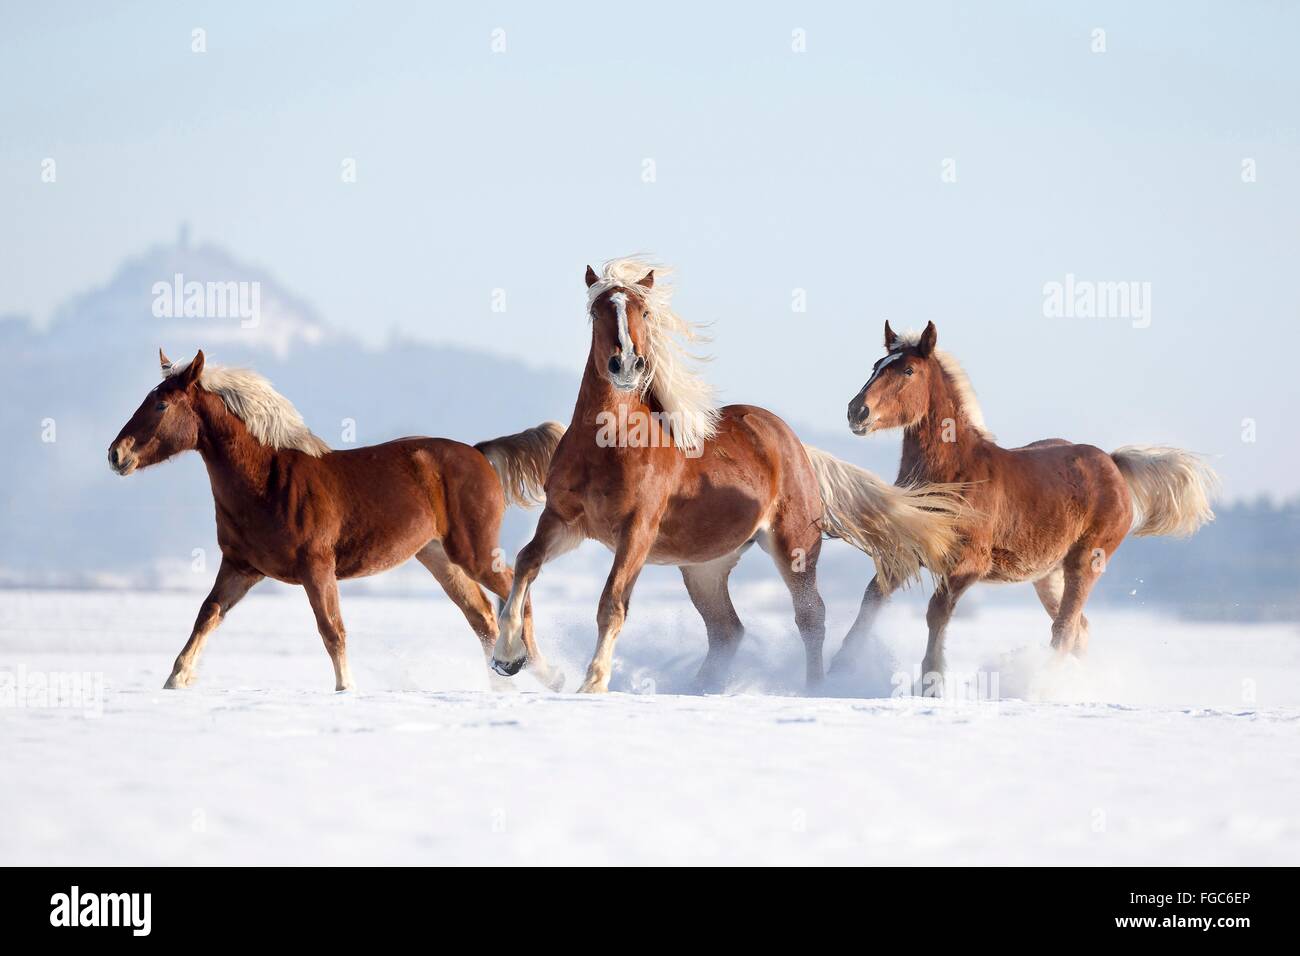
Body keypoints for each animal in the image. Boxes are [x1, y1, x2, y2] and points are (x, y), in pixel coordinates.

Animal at [107, 349, 566, 692]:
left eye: (161, 403)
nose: (116, 454)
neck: (267, 480)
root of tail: (478, 451)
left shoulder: (317, 567)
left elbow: (331, 629)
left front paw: (346, 688)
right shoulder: (240, 567)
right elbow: (207, 614)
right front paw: (175, 679)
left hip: (474, 552)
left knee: (515, 596)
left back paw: (545, 673)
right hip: (439, 558)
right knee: (482, 617)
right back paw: (503, 684)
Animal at [488, 259, 968, 693]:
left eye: (644, 312)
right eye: (597, 311)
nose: (626, 364)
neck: (610, 443)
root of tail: (795, 446)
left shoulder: (636, 531)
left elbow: (612, 602)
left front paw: (593, 683)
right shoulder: (564, 520)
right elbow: (525, 563)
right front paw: (507, 658)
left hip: (793, 546)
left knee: (810, 617)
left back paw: (814, 689)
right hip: (704, 567)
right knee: (727, 630)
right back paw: (700, 688)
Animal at [835, 320, 1219, 688]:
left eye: (908, 371)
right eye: (876, 365)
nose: (857, 411)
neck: (955, 473)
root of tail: (1112, 462)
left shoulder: (969, 563)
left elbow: (936, 611)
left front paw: (931, 683)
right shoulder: (909, 551)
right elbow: (872, 598)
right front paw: (839, 666)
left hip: (1086, 562)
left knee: (1065, 629)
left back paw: (1040, 684)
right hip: (1048, 575)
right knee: (1080, 629)